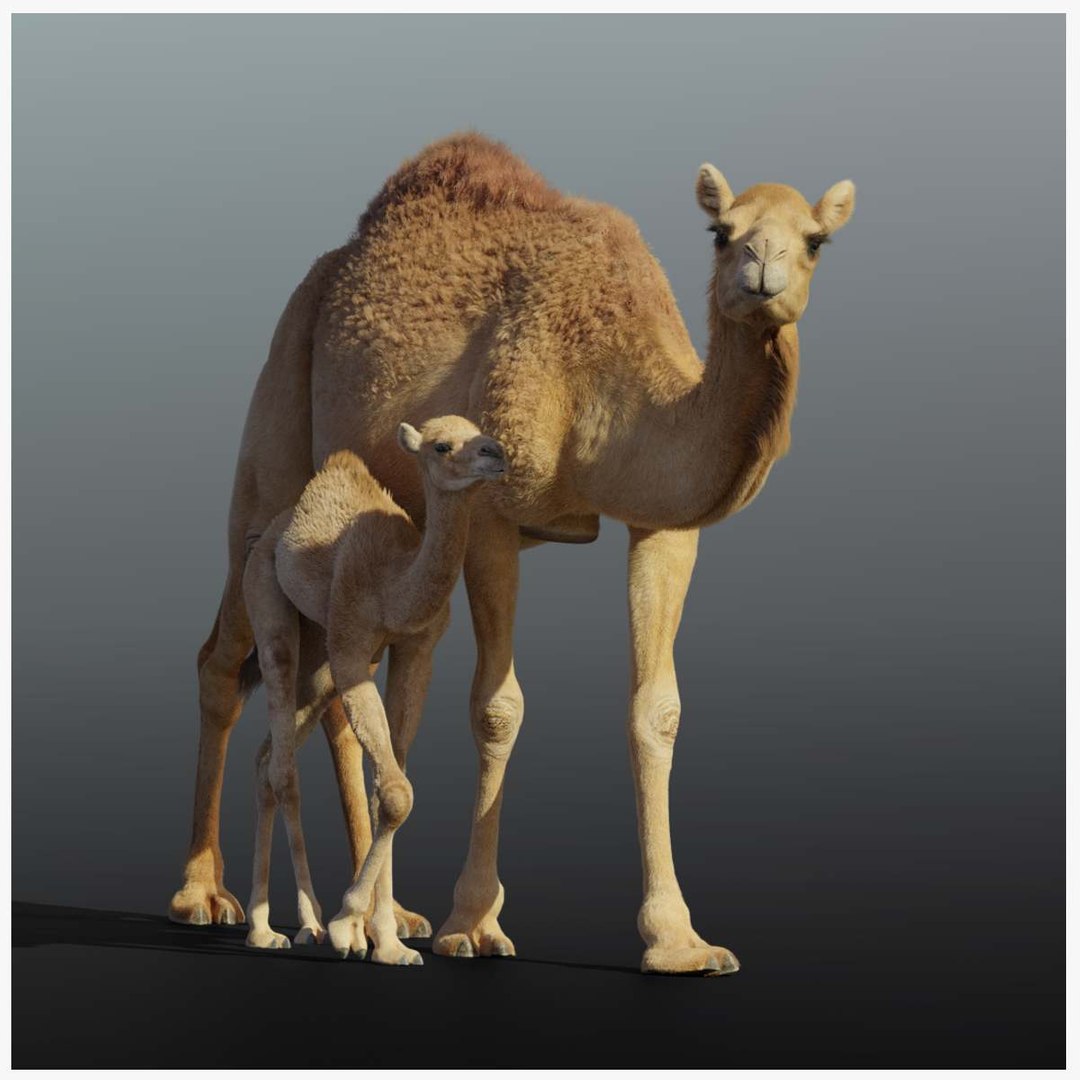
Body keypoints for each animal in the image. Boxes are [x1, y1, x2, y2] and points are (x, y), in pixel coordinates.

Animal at [242, 416, 506, 963]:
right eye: (442, 446)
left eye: (480, 430)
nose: (497, 454)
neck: (392, 585)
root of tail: (273, 532)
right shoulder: (352, 647)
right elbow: (396, 792)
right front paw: (348, 926)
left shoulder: (414, 650)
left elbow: (388, 785)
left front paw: (387, 943)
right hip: (269, 602)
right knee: (283, 769)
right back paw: (286, 927)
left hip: (319, 657)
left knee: (265, 759)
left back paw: (278, 924)